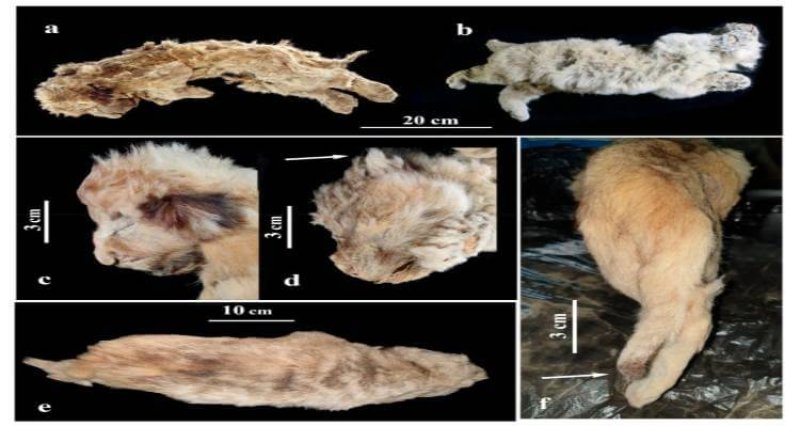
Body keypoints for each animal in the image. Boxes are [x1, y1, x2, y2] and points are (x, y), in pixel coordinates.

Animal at [447, 23, 762, 121]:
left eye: (748, 29)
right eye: (740, 27)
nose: (752, 27)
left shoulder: (678, 88)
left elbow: (712, 79)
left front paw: (739, 79)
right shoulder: (673, 46)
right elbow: (694, 49)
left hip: (533, 84)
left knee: (508, 94)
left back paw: (519, 114)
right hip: (501, 70)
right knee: (476, 71)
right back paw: (454, 81)